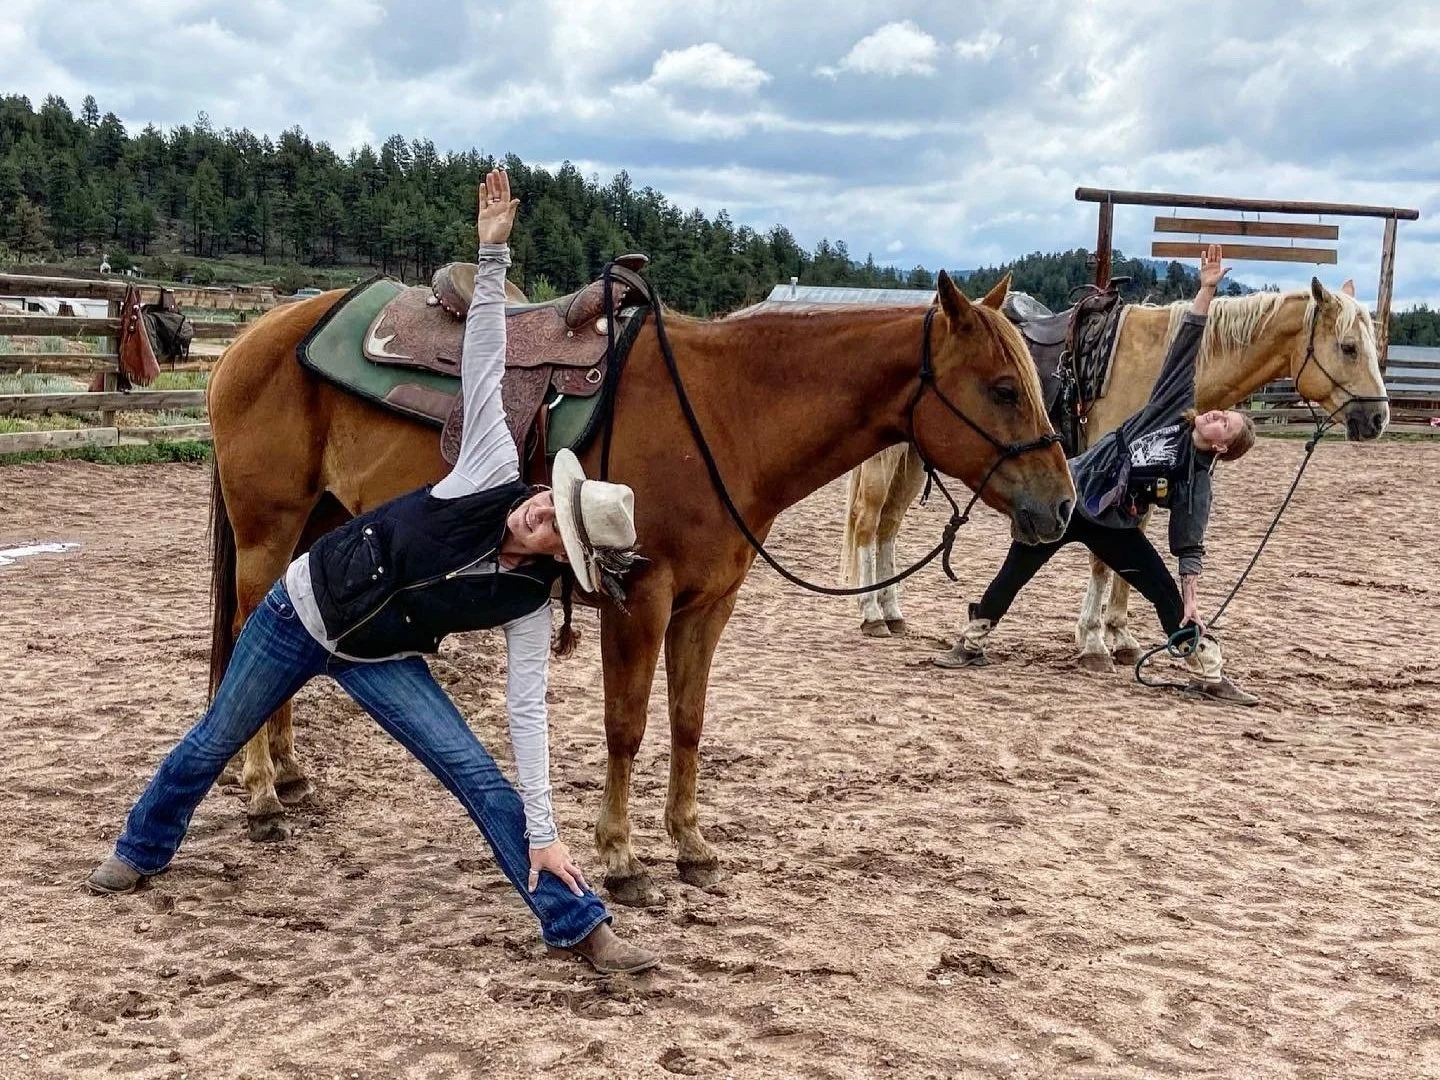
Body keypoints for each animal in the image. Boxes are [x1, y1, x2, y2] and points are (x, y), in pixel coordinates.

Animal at [202, 269, 1076, 907]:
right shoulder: (640, 603)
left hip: (318, 527)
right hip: (270, 533)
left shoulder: (708, 607)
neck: (725, 416)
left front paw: (690, 842)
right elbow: (627, 726)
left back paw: (287, 773)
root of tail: (253, 338)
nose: (1063, 505)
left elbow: (688, 722)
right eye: (1003, 387)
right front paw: (621, 855)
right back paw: (260, 792)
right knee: (254, 639)